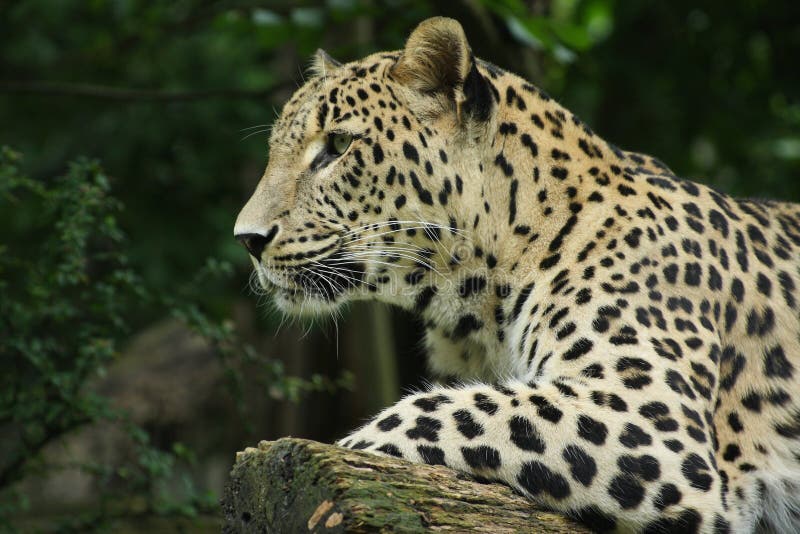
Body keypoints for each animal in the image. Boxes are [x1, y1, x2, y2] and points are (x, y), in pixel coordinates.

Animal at [234, 17, 800, 533]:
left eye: (337, 146)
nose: (247, 239)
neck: (474, 305)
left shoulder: (647, 416)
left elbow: (440, 412)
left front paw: (351, 448)